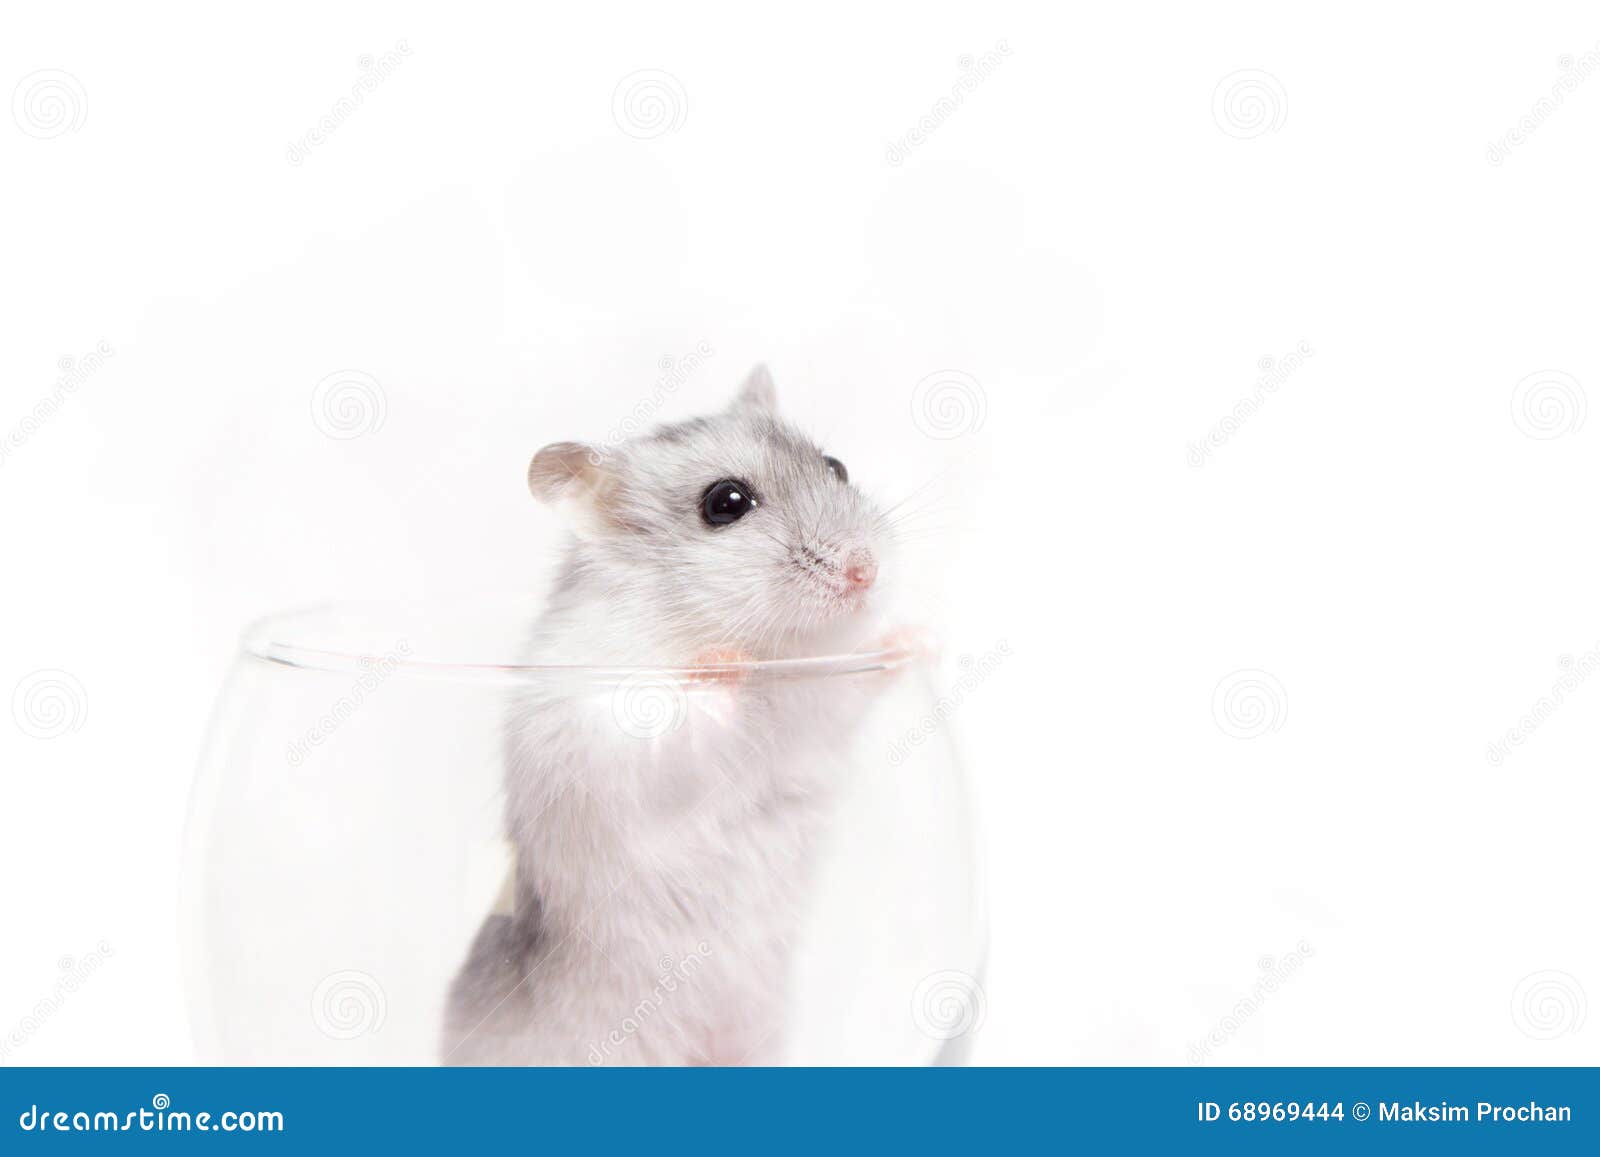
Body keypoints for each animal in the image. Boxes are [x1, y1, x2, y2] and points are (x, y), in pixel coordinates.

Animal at [440, 366, 901, 1065]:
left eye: (836, 466)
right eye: (726, 503)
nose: (864, 572)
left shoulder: (819, 703)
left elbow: (853, 690)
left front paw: (912, 642)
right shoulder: (606, 729)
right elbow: (676, 726)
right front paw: (719, 666)